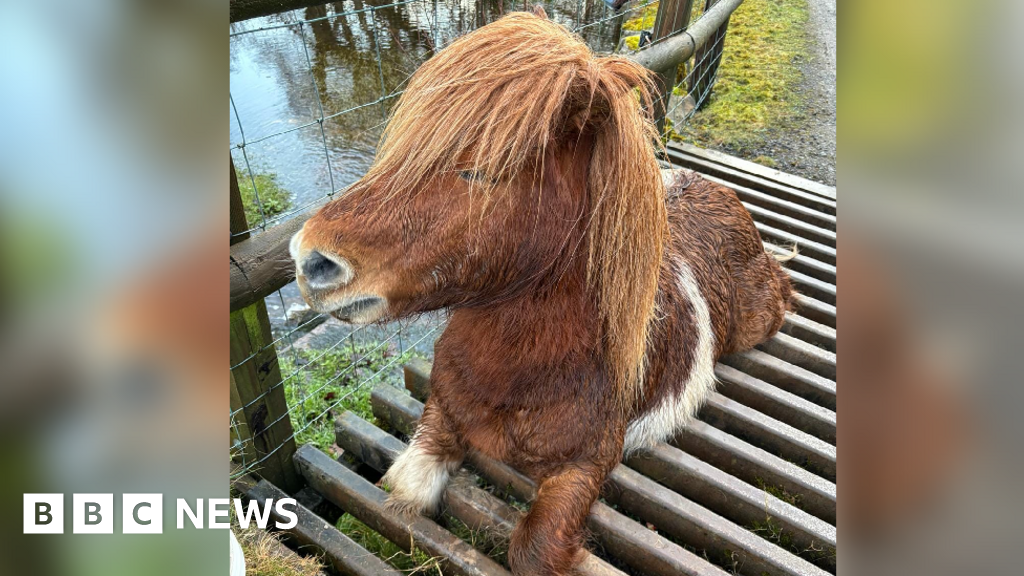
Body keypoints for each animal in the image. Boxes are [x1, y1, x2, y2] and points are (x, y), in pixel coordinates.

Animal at [289, 10, 794, 575]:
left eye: (482, 171)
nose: (311, 260)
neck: (520, 379)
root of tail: (714, 189)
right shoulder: (443, 407)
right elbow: (410, 482)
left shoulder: (587, 464)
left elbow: (534, 548)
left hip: (760, 318)